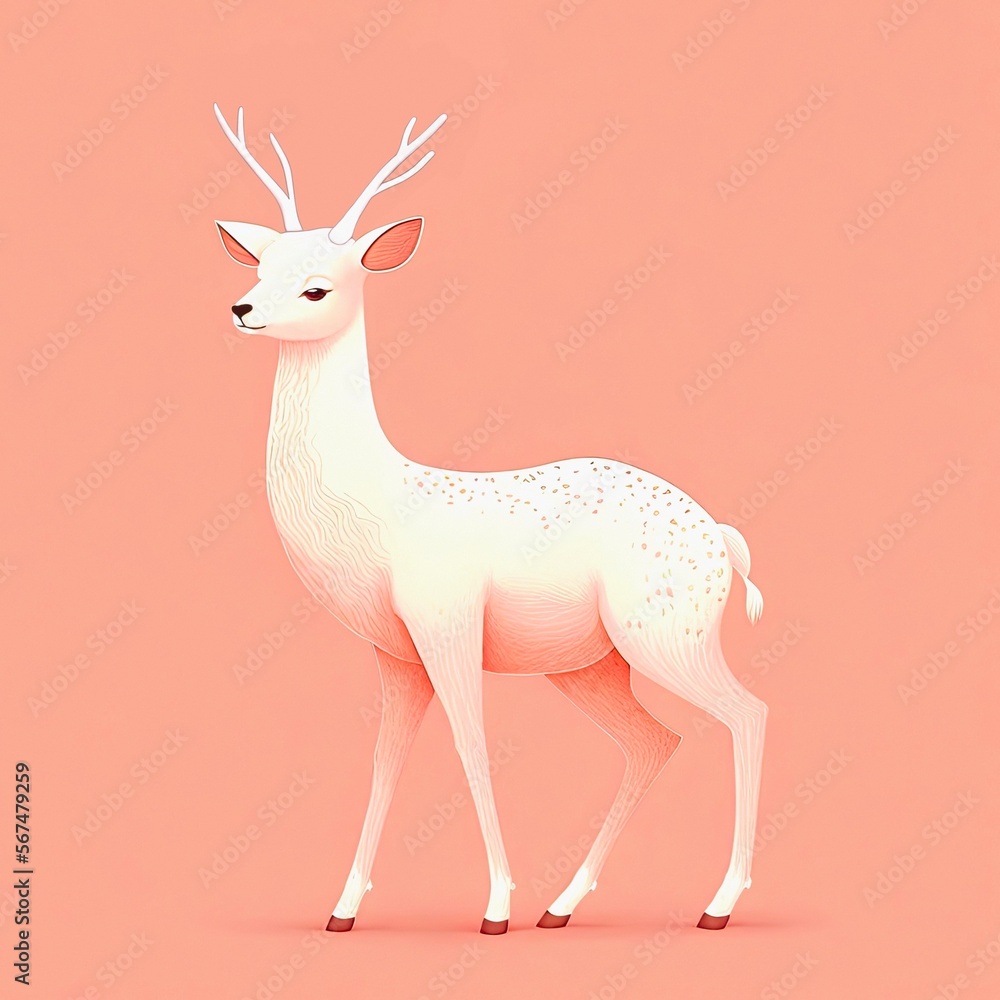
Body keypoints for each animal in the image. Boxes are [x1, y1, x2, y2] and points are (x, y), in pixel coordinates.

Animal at [212, 103, 768, 935]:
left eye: (316, 287)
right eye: (258, 266)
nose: (242, 309)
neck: (376, 506)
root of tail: (723, 538)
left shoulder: (447, 625)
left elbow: (471, 747)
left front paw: (497, 906)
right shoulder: (397, 657)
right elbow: (384, 765)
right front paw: (343, 910)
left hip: (669, 637)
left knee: (747, 714)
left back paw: (716, 906)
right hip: (589, 665)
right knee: (655, 741)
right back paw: (562, 906)